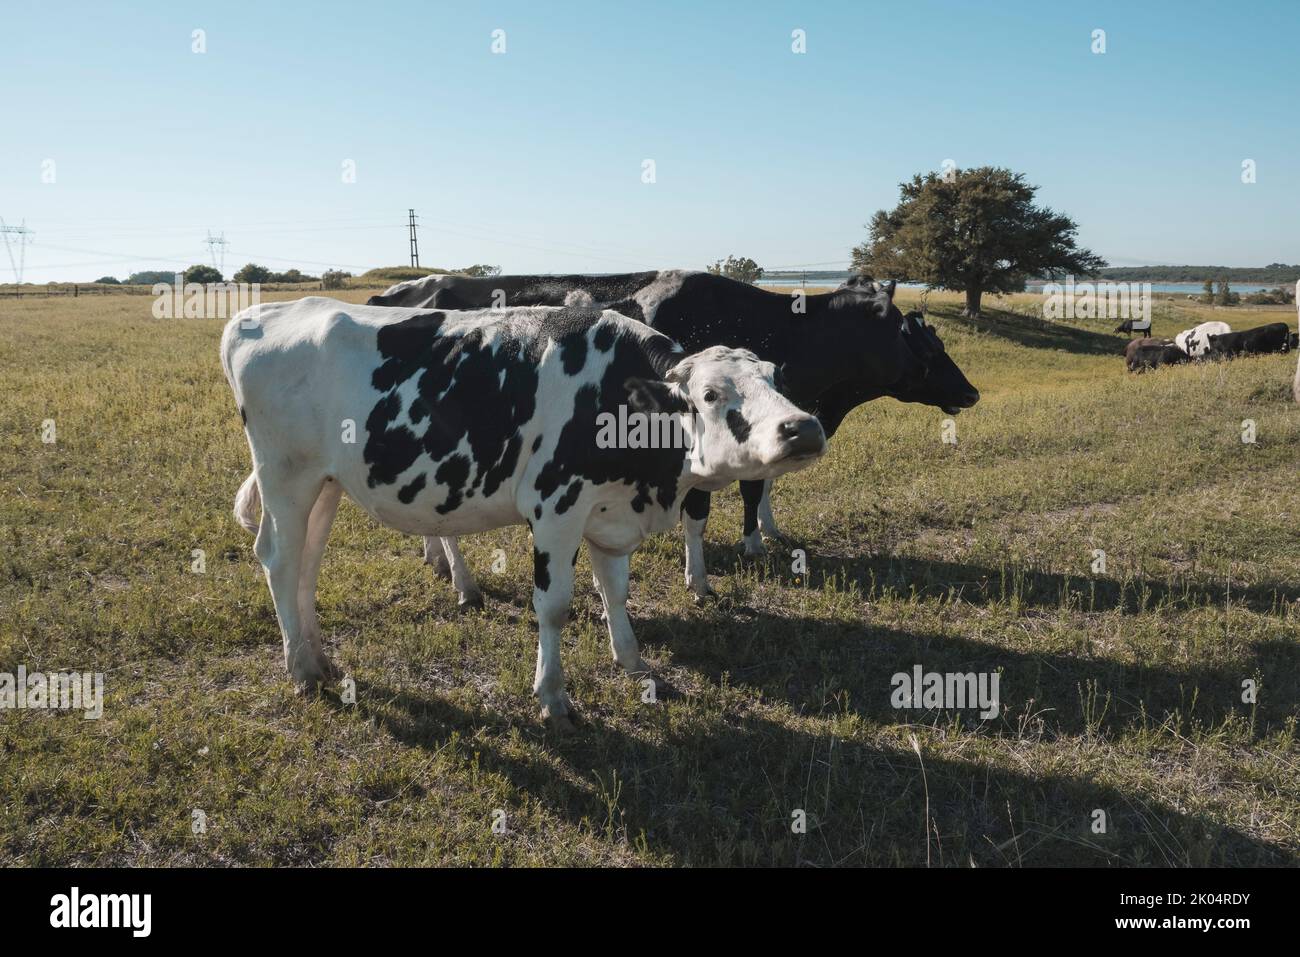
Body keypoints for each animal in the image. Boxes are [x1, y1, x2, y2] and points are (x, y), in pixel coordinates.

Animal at [221, 298, 826, 731]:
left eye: (775, 378)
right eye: (710, 394)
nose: (804, 428)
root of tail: (261, 313)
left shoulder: (608, 513)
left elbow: (615, 593)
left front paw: (633, 663)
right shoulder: (556, 507)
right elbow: (554, 607)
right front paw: (553, 696)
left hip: (325, 483)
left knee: (307, 562)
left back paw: (318, 657)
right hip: (285, 474)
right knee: (278, 559)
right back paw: (301, 670)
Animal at [368, 270, 979, 602]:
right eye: (923, 338)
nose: (971, 391)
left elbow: (762, 487)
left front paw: (767, 532)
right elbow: (715, 508)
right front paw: (719, 566)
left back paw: (438, 560)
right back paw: (463, 582)